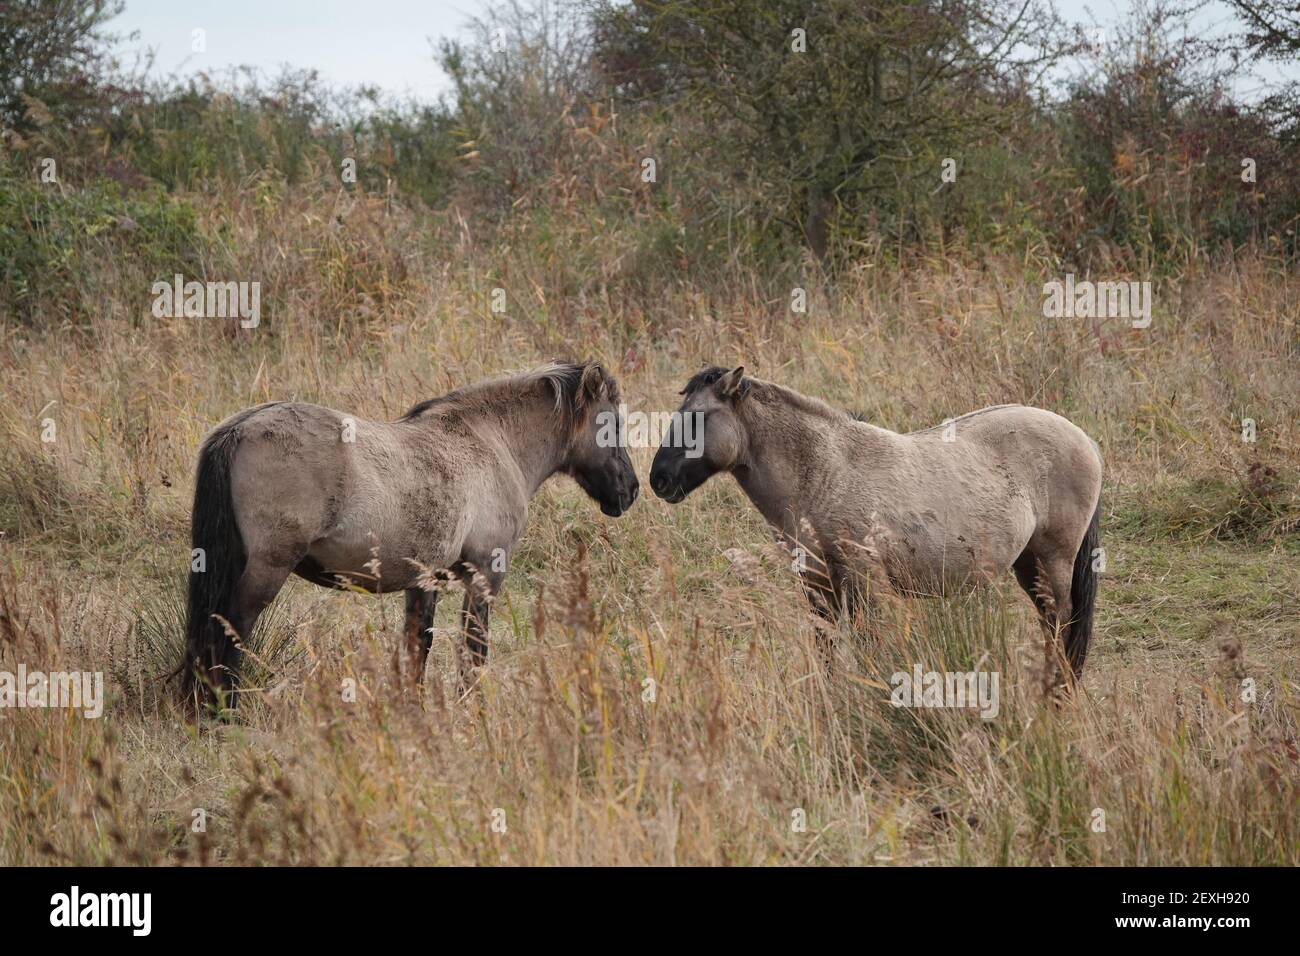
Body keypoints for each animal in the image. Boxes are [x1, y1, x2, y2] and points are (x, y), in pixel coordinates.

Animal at [181, 361, 638, 708]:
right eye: (612, 424)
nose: (630, 490)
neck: (490, 442)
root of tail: (239, 429)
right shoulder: (485, 575)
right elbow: (474, 650)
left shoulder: (424, 582)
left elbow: (419, 647)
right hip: (266, 570)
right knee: (230, 633)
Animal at [649, 366, 1103, 680]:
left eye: (697, 418)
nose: (657, 479)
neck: (826, 472)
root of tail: (1085, 440)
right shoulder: (818, 587)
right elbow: (827, 649)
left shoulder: (866, 583)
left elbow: (871, 648)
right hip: (1029, 565)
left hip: (1053, 560)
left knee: (1061, 623)